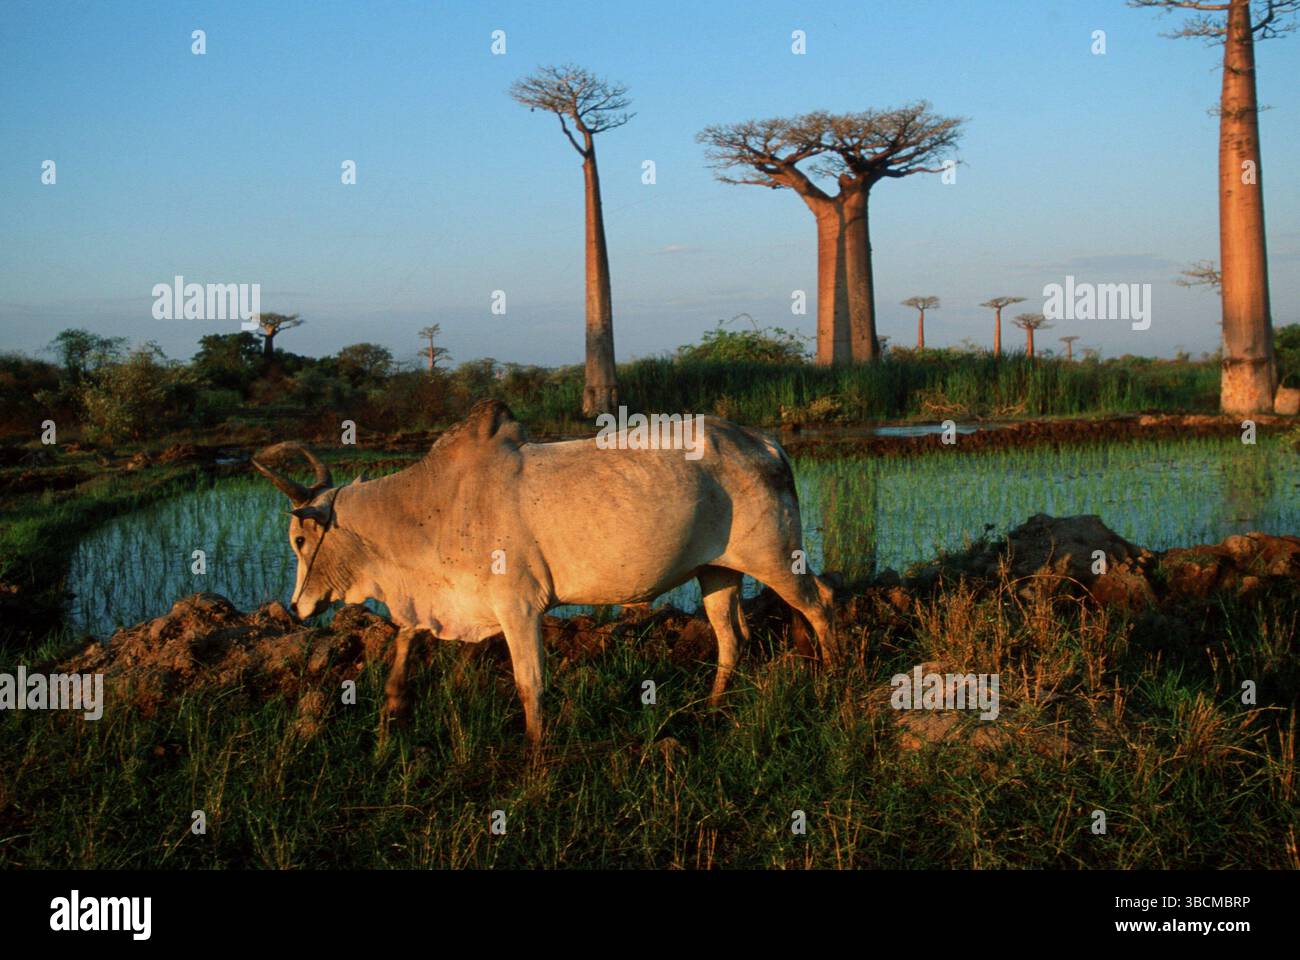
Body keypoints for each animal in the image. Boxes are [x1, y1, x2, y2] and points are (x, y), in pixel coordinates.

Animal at [252, 400, 837, 747]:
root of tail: (765, 441)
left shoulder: (518, 607)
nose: (296, 607)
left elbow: (529, 684)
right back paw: (712, 710)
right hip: (716, 571)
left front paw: (535, 756)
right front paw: (394, 712)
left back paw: (834, 678)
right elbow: (403, 643)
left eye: (299, 540)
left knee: (821, 604)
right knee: (731, 638)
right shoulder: (436, 605)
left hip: (776, 558)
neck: (429, 508)